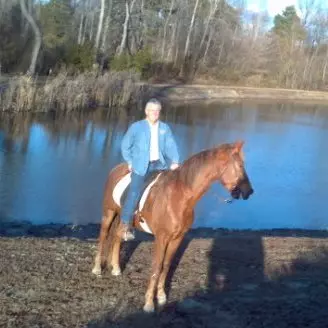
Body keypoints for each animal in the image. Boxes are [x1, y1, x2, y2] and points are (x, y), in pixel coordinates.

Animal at [91, 140, 255, 312]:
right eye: (240, 165)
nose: (249, 191)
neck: (179, 197)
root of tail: (116, 169)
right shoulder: (161, 238)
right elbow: (157, 267)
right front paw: (149, 303)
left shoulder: (177, 238)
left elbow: (166, 265)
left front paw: (161, 296)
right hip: (108, 213)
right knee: (103, 236)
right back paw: (97, 269)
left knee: (117, 237)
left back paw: (116, 268)